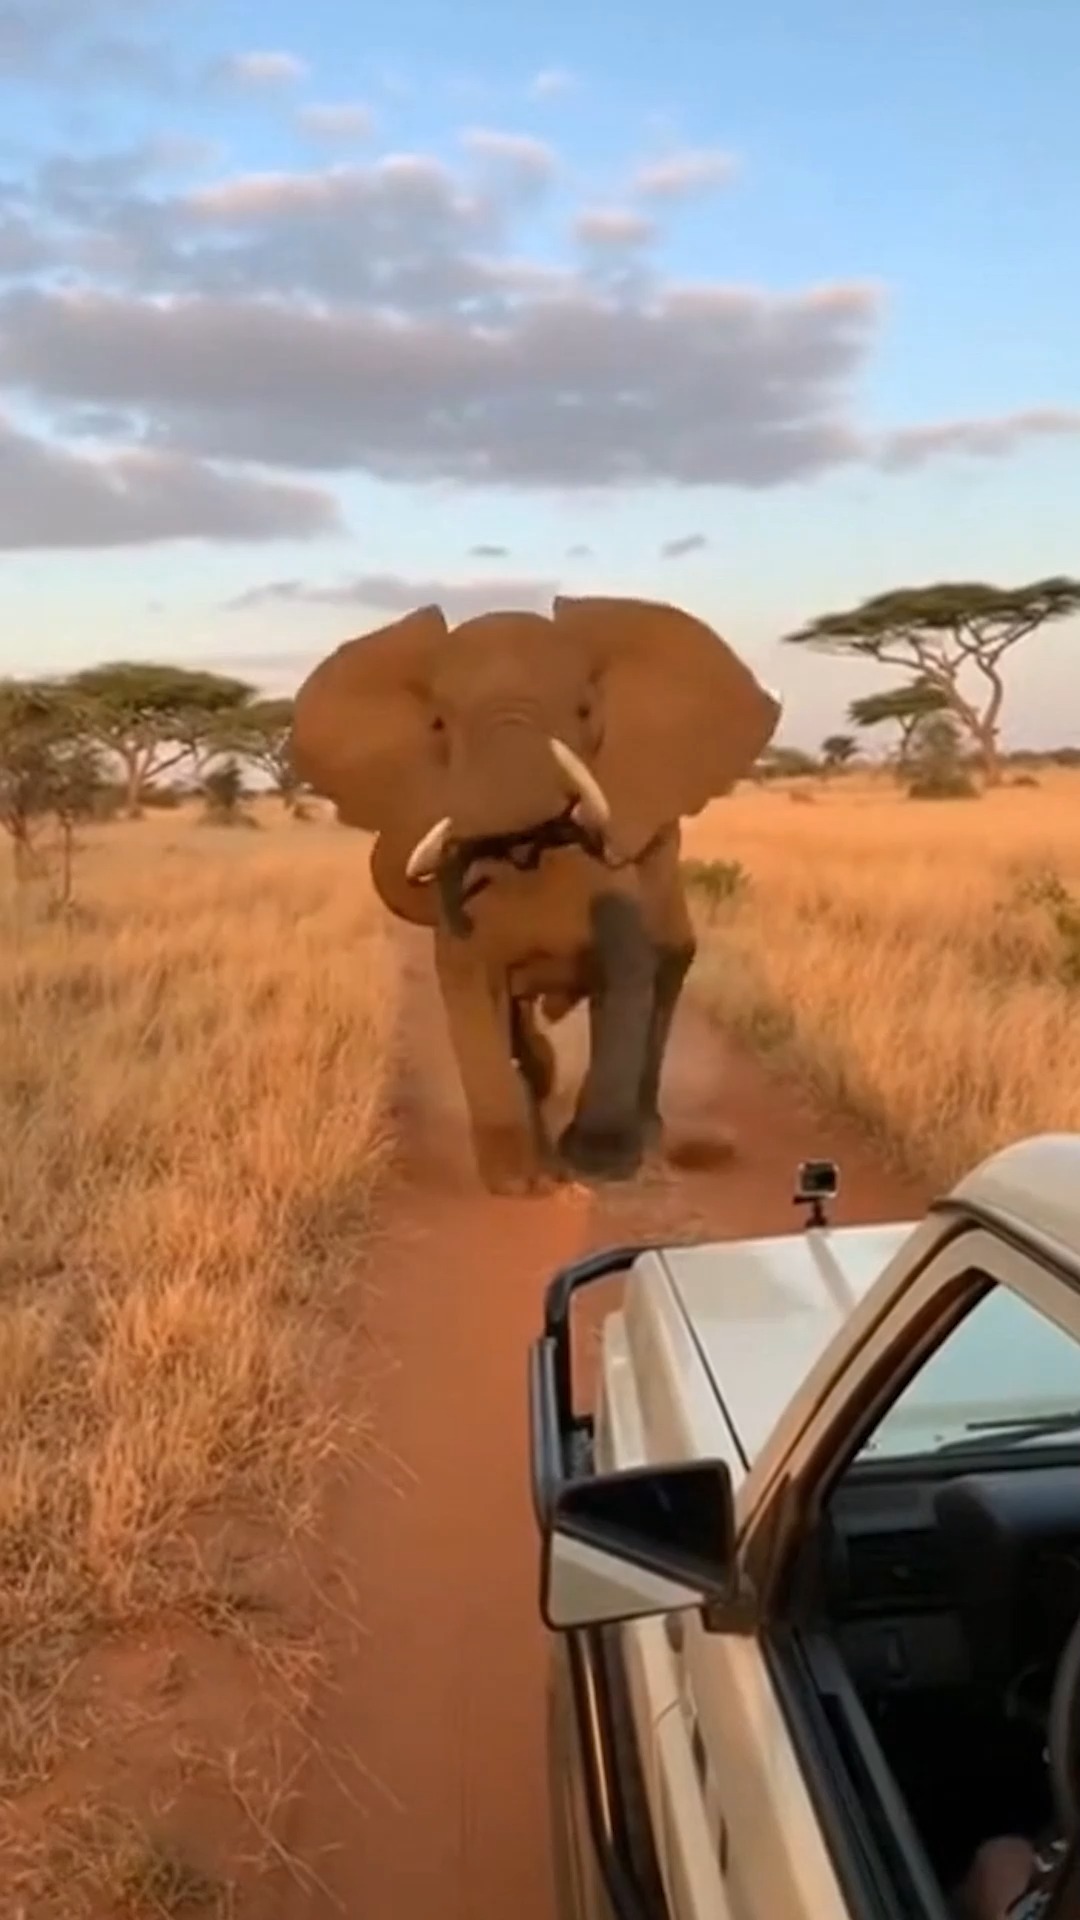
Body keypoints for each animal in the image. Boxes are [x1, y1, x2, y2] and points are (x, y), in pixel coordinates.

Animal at [290, 595, 781, 1196]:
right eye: (438, 724)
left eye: (584, 711)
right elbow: (470, 992)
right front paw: (516, 1180)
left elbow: (626, 976)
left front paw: (597, 1165)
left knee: (667, 968)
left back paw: (645, 1131)